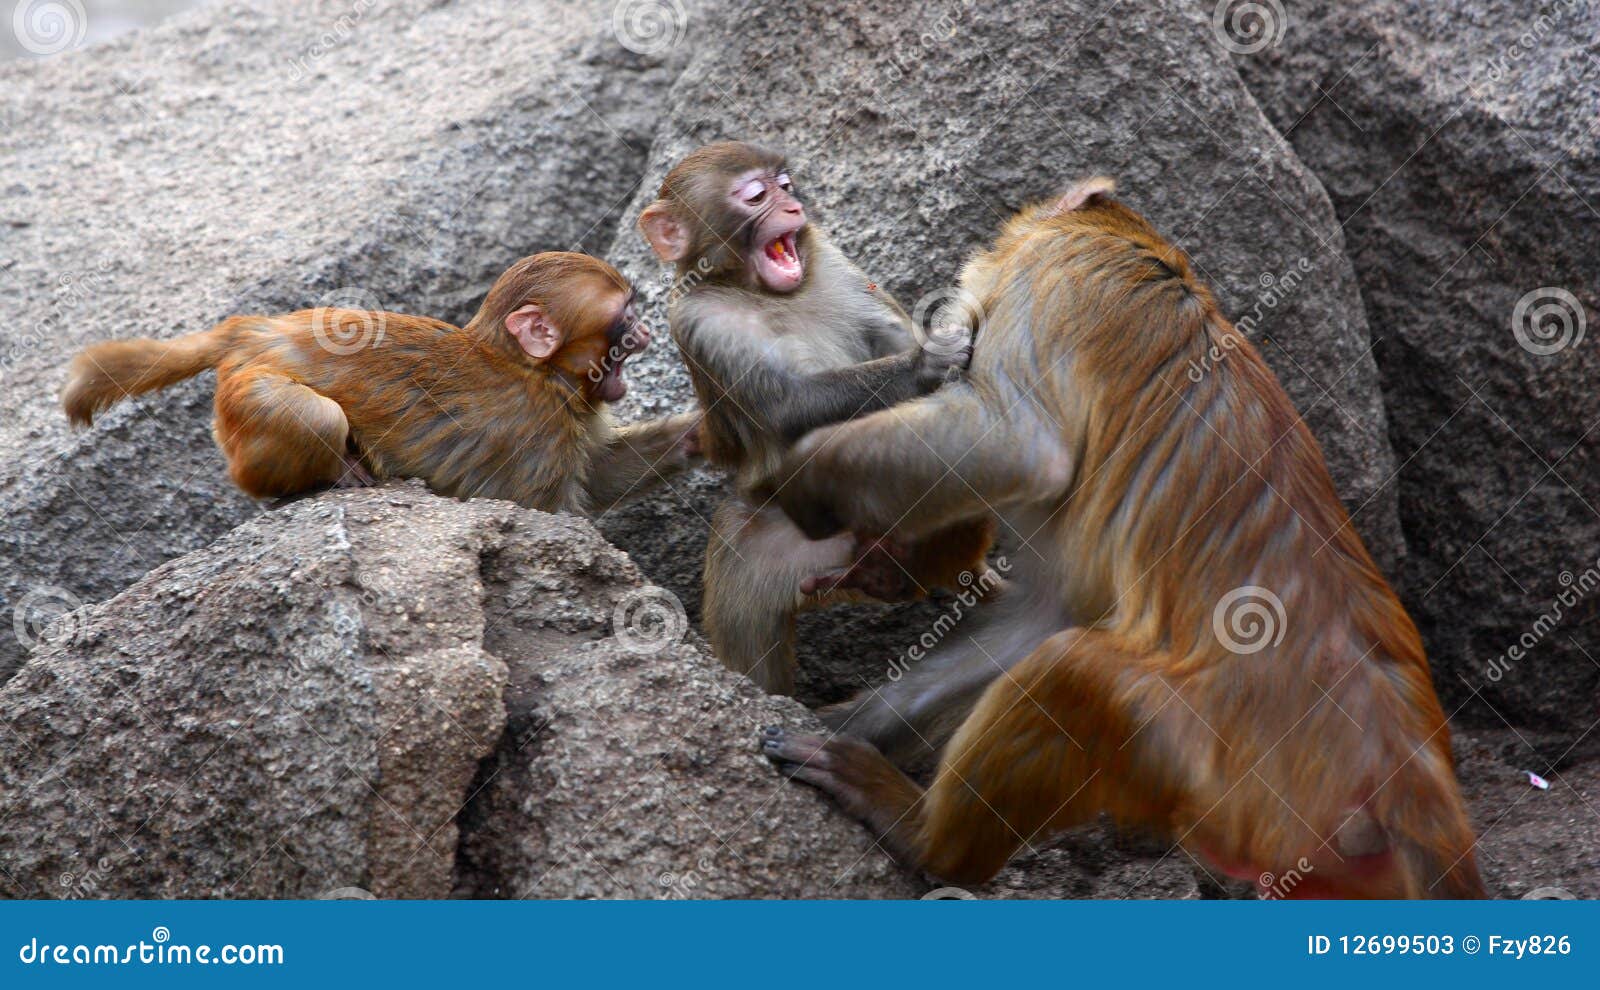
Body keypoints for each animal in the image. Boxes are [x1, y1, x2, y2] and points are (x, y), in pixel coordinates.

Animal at [61, 251, 700, 515]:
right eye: (624, 319)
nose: (647, 330)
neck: (535, 370)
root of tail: (258, 329)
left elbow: (604, 475)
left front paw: (699, 434)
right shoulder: (535, 436)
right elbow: (559, 517)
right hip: (249, 395)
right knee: (315, 419)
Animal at [637, 141, 995, 696]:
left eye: (785, 185)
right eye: (756, 195)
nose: (793, 207)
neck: (761, 289)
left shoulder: (829, 260)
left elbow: (889, 333)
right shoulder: (698, 319)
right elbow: (786, 405)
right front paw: (926, 361)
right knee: (743, 579)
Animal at [757, 178, 1486, 899]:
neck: (1139, 248)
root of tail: (1410, 783)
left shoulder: (1049, 276)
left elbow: (1022, 449)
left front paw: (797, 479)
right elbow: (1043, 614)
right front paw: (839, 716)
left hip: (1233, 795)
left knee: (1072, 671)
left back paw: (923, 839)